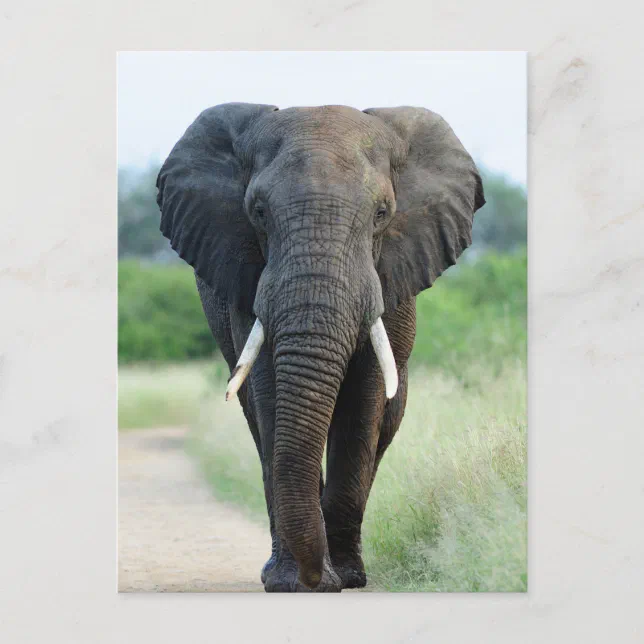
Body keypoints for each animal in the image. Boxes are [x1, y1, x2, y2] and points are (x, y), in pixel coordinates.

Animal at [156, 103, 484, 592]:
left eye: (382, 213)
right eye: (257, 212)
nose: (317, 580)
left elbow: (364, 398)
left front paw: (344, 577)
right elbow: (270, 388)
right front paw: (293, 582)